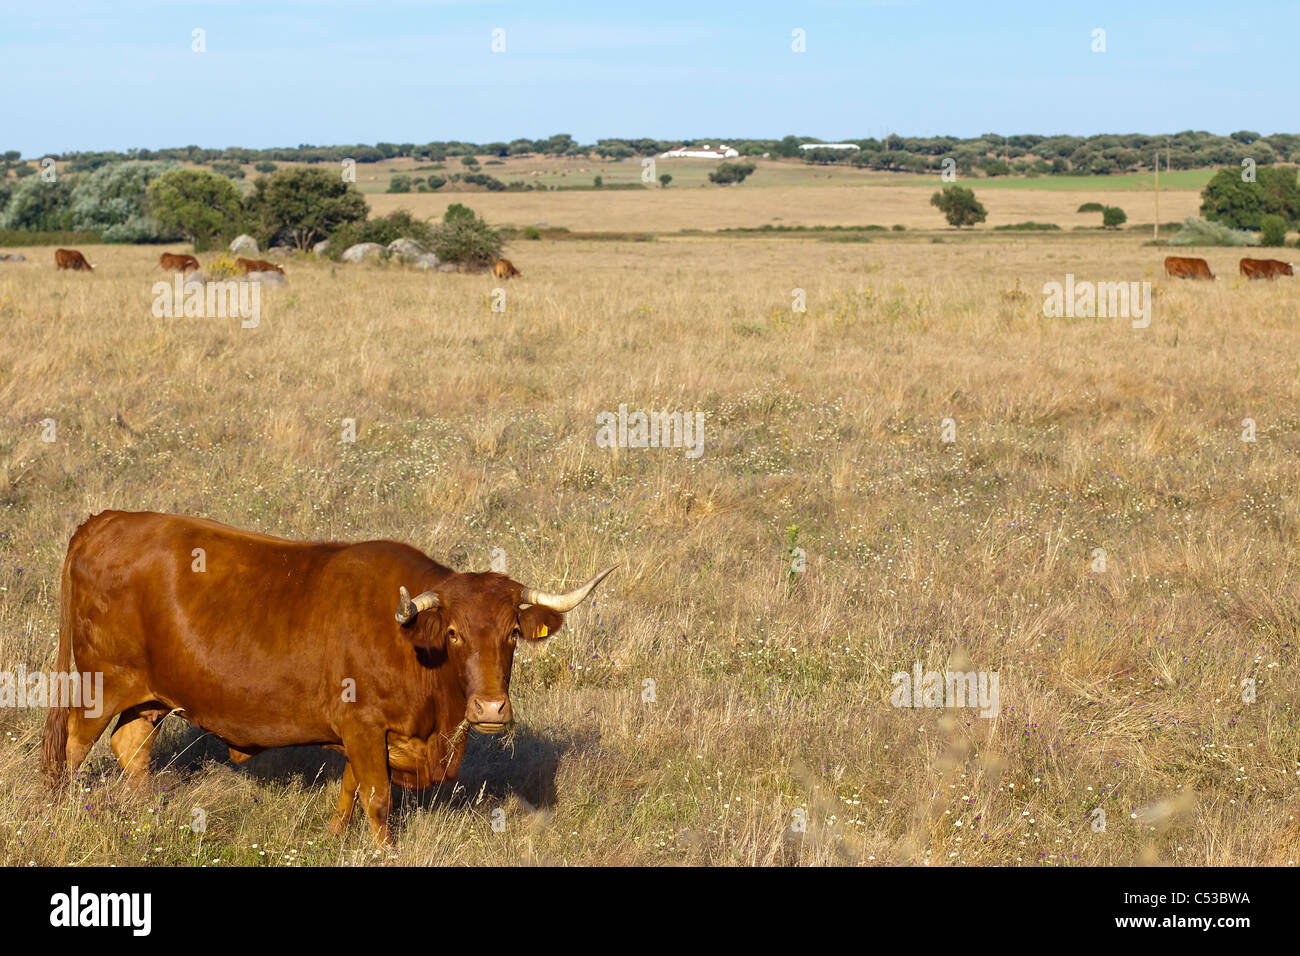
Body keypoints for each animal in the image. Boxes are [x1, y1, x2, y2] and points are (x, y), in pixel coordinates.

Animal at [41, 511, 615, 848]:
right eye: (453, 633)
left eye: (512, 634)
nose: (491, 710)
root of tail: (104, 520)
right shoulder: (363, 725)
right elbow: (378, 798)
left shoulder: (368, 736)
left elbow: (350, 790)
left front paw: (337, 837)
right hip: (98, 686)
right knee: (70, 752)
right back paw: (61, 810)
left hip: (149, 696)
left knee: (132, 746)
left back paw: (146, 814)